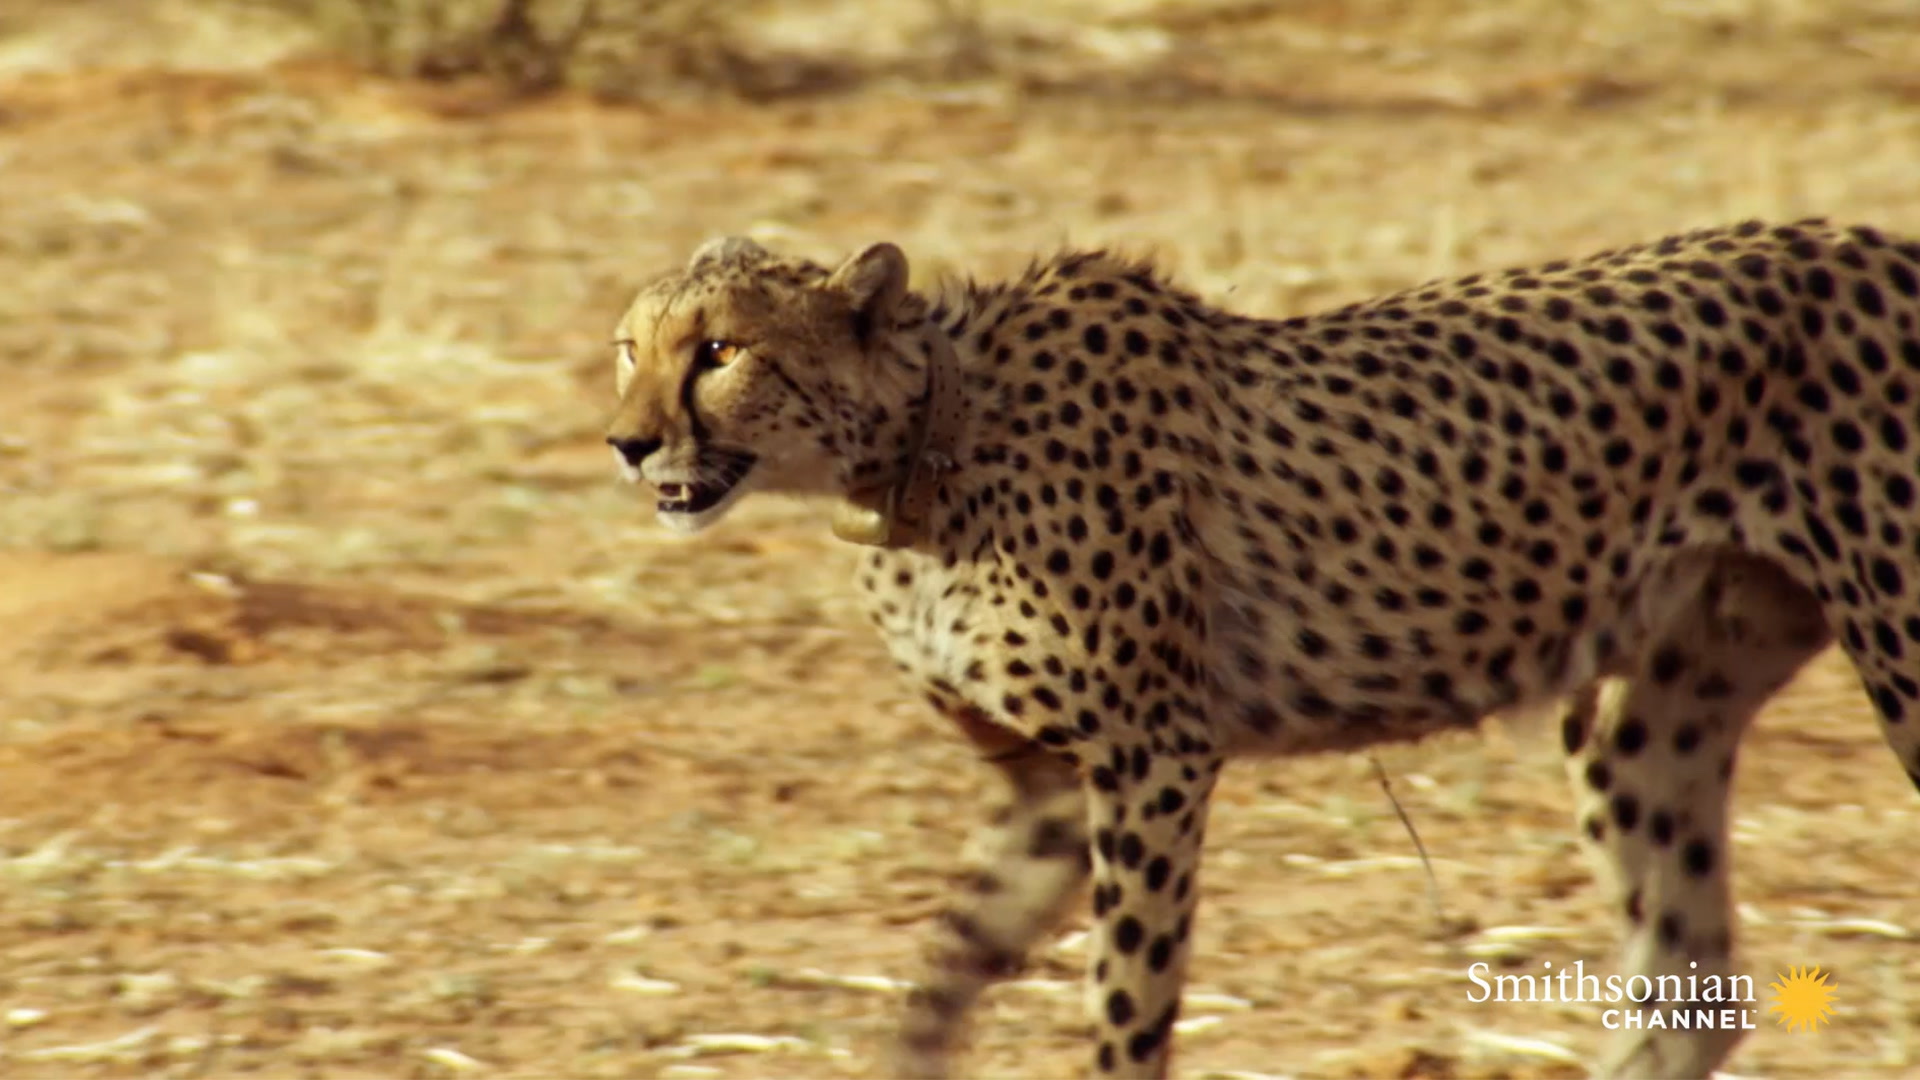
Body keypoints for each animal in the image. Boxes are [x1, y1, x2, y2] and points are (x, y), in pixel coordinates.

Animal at [601, 218, 1920, 1079]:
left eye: (719, 351)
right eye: (629, 347)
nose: (625, 442)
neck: (929, 441)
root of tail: (1871, 238)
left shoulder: (1154, 756)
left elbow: (1129, 1000)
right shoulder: (1045, 786)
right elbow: (941, 973)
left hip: (1898, 650)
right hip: (1648, 717)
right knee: (1690, 989)